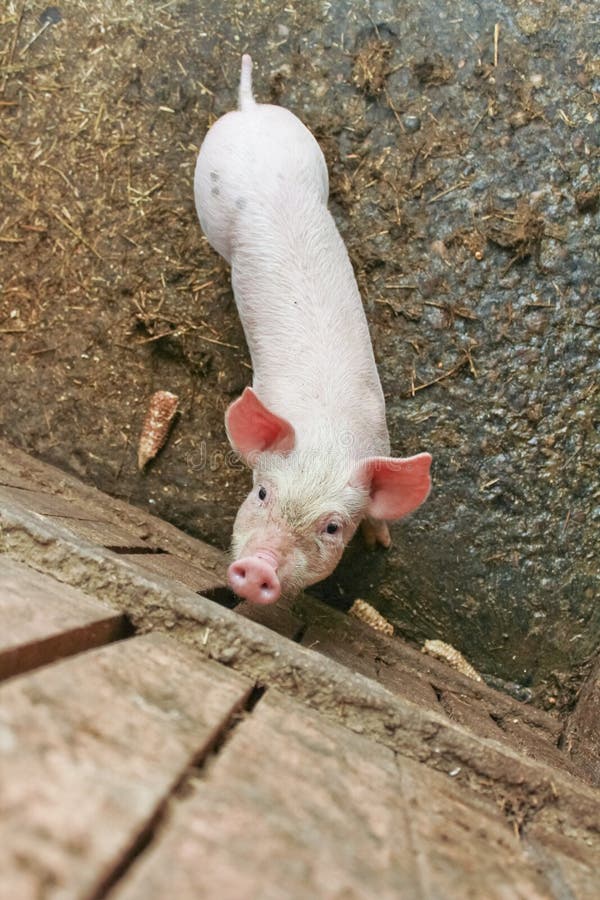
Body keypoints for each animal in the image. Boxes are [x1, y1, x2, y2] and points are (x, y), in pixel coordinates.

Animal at [194, 55, 431, 604]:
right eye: (261, 492)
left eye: (332, 527)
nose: (257, 567)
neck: (325, 430)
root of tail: (249, 108)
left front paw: (382, 544)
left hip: (308, 152)